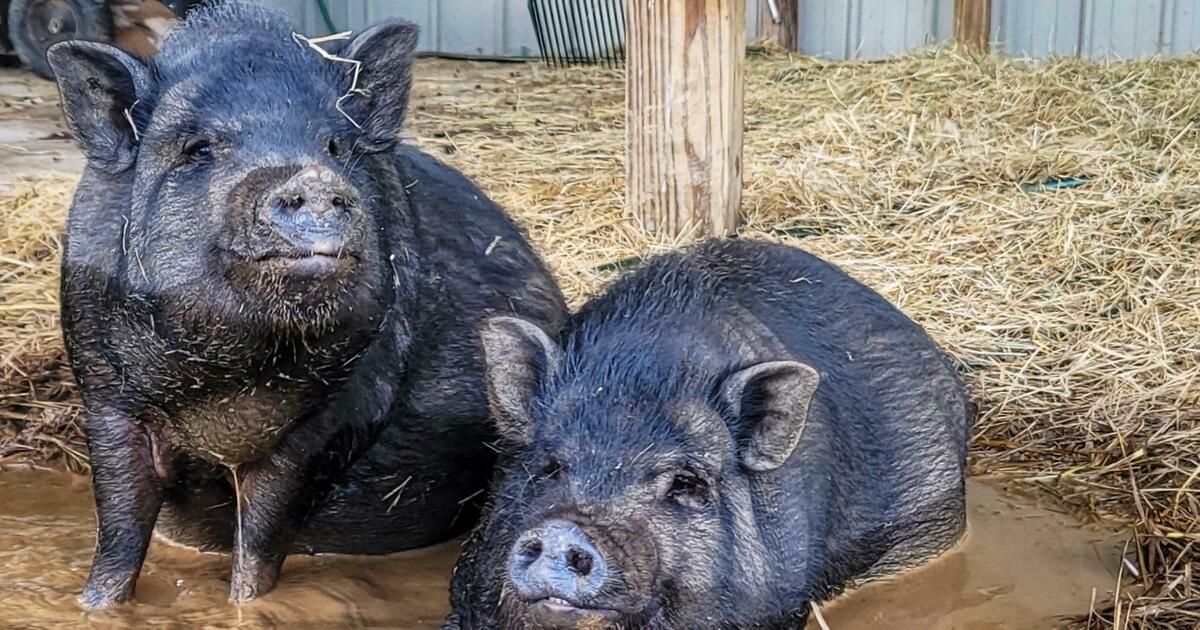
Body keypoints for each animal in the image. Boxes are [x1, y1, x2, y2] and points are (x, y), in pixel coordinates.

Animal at [47, 2, 566, 608]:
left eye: (335, 147)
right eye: (199, 149)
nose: (314, 177)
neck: (222, 383)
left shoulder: (331, 416)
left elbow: (262, 537)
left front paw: (244, 606)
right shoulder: (105, 395)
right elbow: (118, 526)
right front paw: (92, 606)